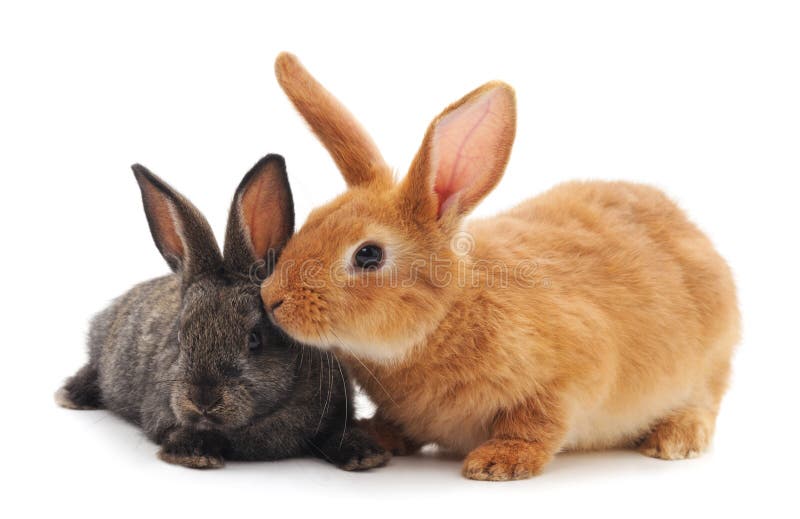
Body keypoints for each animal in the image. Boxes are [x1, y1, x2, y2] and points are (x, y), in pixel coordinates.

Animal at [55, 154, 390, 471]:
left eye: (255, 339)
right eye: (180, 338)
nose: (203, 399)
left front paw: (364, 455)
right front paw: (193, 453)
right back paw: (72, 396)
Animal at [260, 53, 741, 481]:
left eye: (368, 255)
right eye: (313, 219)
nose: (272, 299)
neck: (448, 316)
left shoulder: (569, 377)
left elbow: (537, 423)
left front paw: (499, 462)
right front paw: (372, 435)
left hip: (708, 365)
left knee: (703, 403)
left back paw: (674, 440)